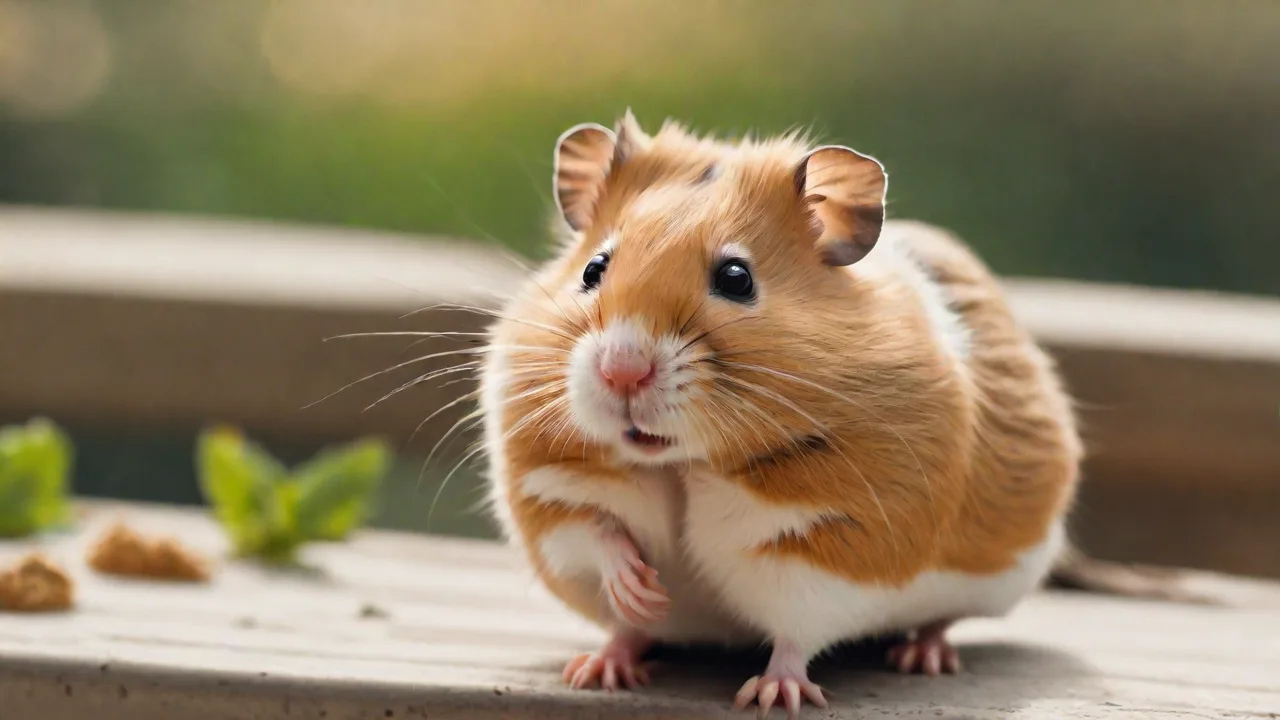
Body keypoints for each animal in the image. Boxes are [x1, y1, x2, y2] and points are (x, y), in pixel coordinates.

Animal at [479, 111, 1081, 718]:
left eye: (736, 278)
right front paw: (642, 592)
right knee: (626, 630)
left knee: (940, 622)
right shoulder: (553, 492)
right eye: (593, 269)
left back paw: (923, 656)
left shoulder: (827, 543)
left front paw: (772, 695)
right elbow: (597, 533)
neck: (678, 462)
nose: (621, 371)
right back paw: (600, 667)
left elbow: (794, 625)